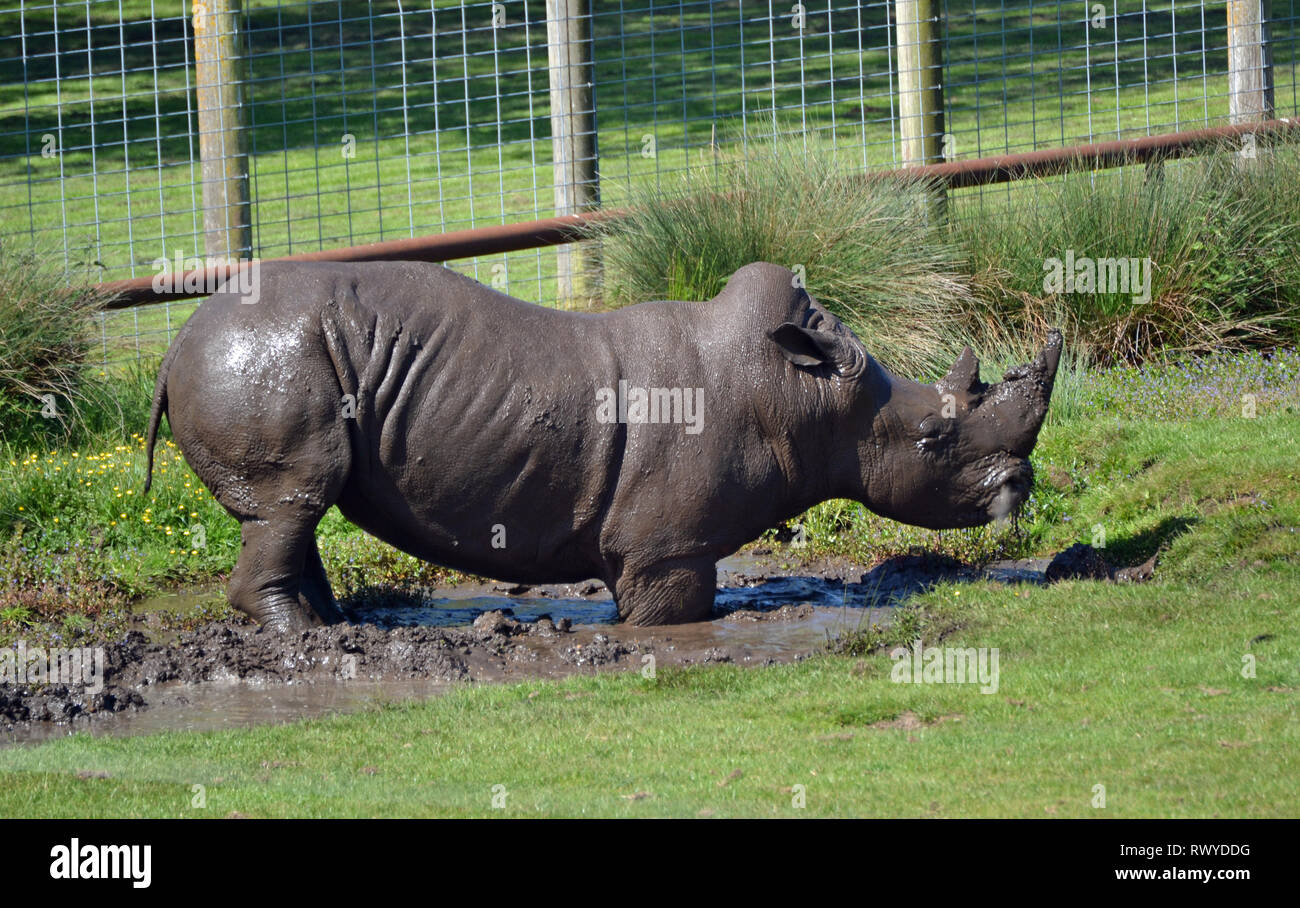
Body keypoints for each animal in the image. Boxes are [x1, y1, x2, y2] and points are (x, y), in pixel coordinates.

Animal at [144, 260, 1061, 629]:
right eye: (934, 438)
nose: (1020, 487)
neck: (807, 397)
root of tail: (175, 341)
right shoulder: (666, 547)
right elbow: (674, 612)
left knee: (292, 505)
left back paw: (332, 625)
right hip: (267, 356)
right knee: (292, 498)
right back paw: (306, 640)